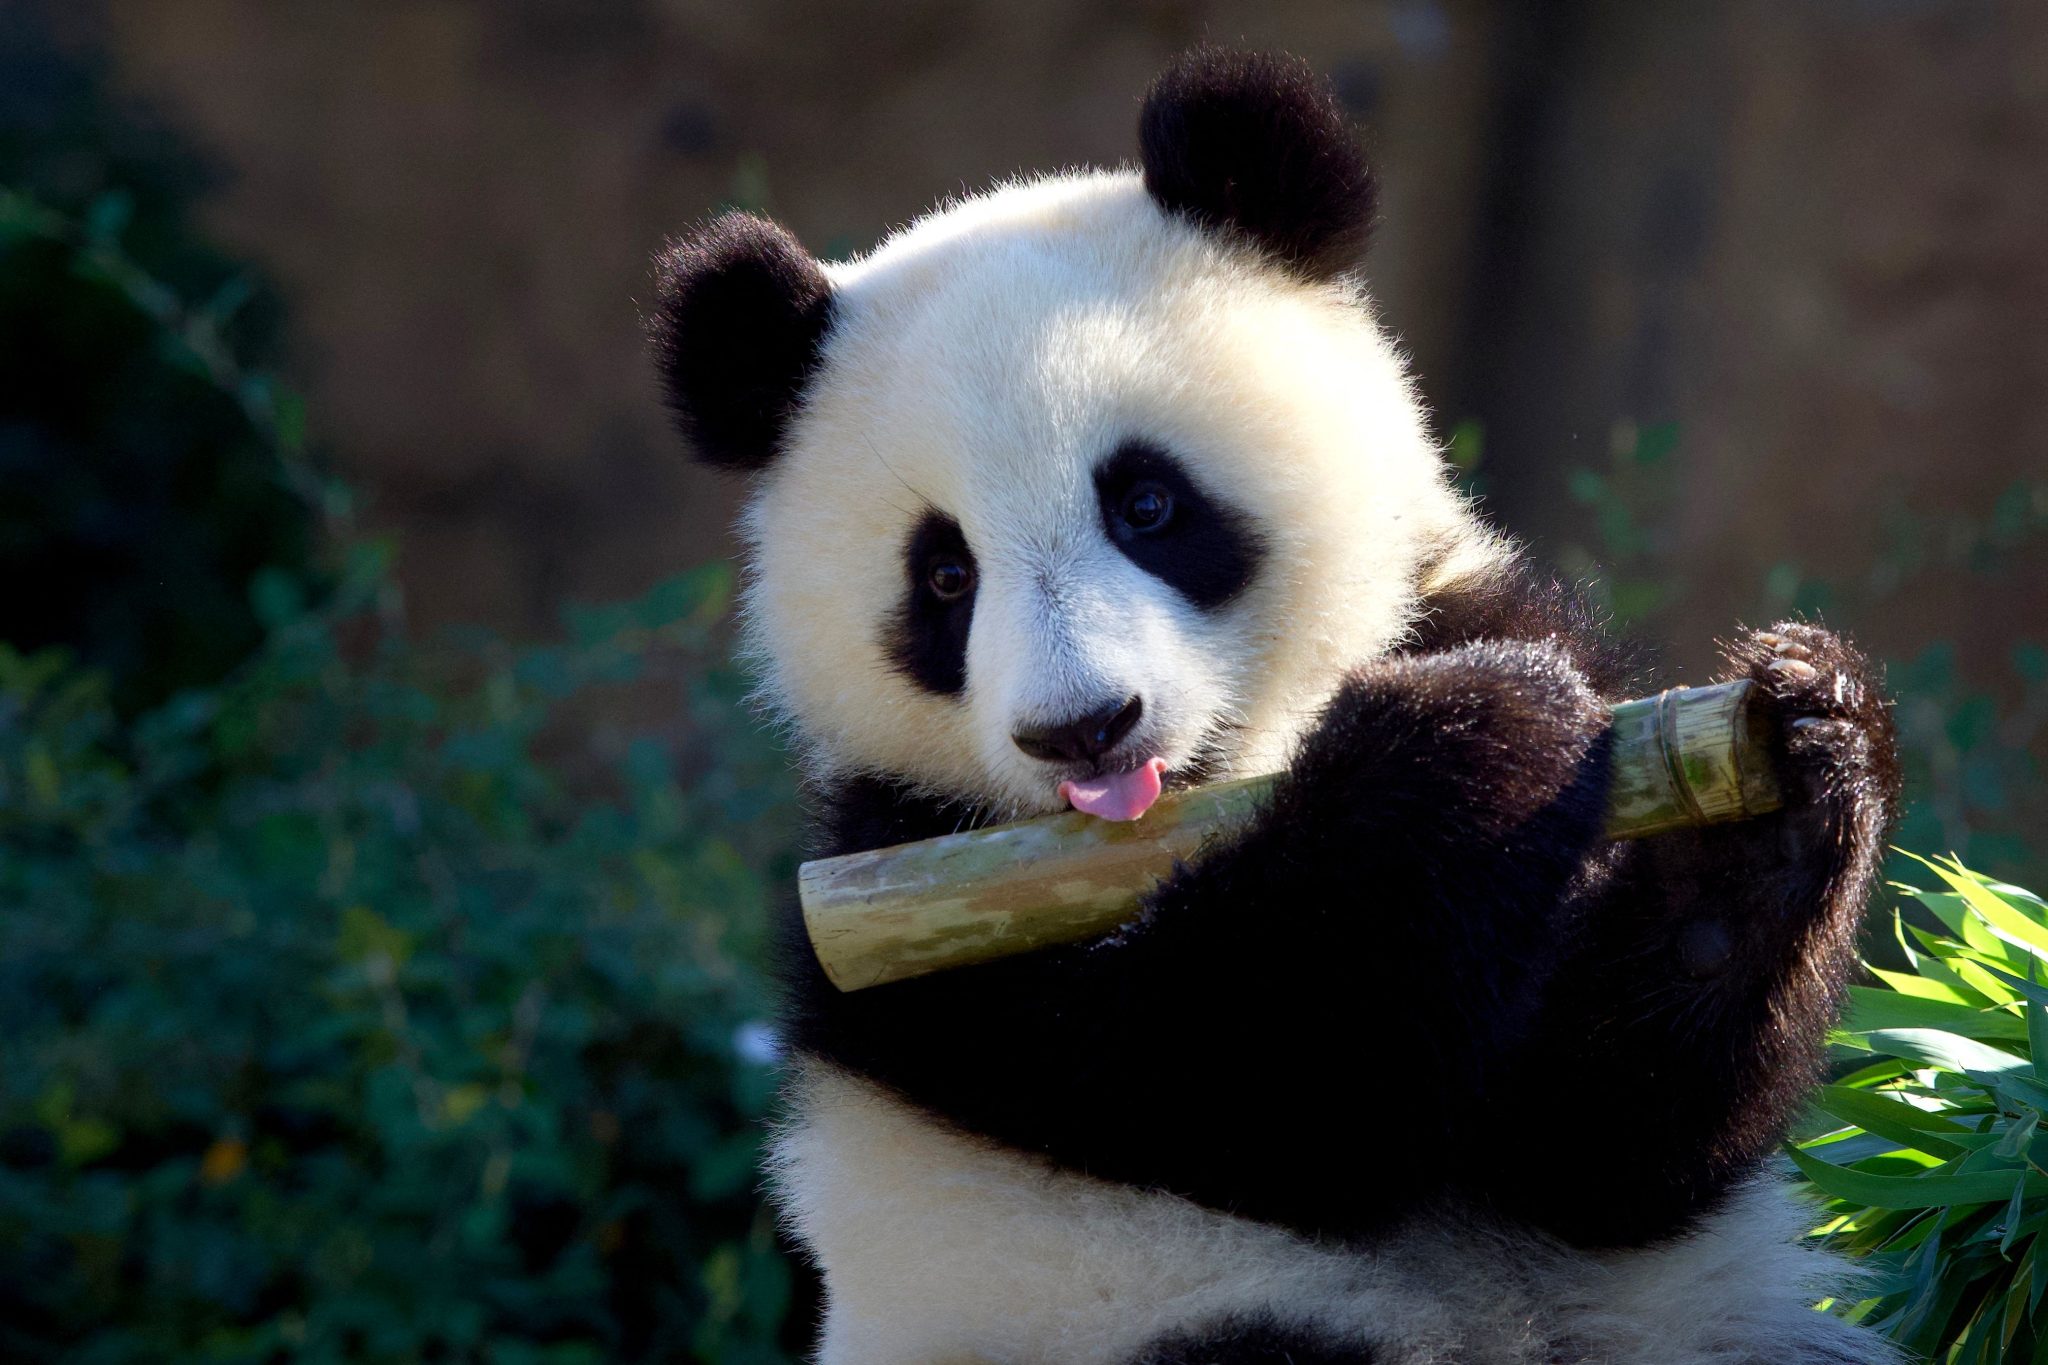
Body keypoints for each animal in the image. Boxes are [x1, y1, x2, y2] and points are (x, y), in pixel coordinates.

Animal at [648, 48, 1902, 1365]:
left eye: (1146, 504)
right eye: (943, 577)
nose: (1083, 728)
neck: (1229, 790)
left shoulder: (1457, 618)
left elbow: (1600, 1138)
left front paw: (1795, 753)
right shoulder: (904, 905)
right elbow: (1262, 1082)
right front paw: (1473, 738)